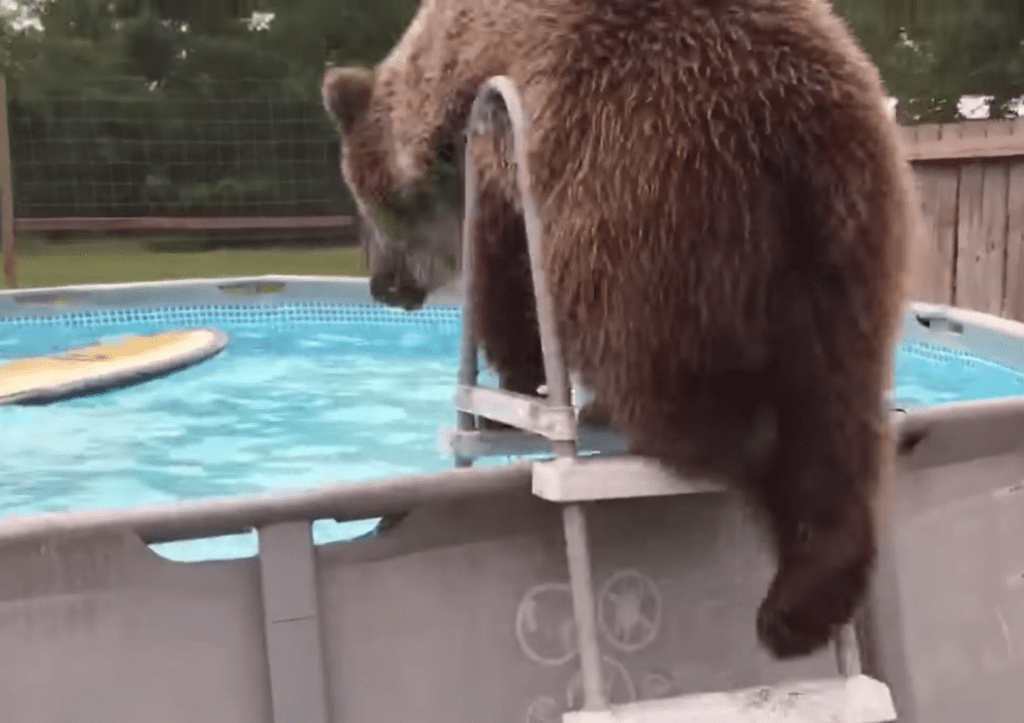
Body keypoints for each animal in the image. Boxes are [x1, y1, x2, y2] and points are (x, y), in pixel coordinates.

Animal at [321, 0, 916, 660]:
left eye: (366, 207)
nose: (384, 287)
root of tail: (791, 127)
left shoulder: (515, 161)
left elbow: (506, 287)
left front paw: (511, 396)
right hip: (847, 234)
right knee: (837, 398)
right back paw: (804, 600)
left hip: (649, 195)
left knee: (667, 376)